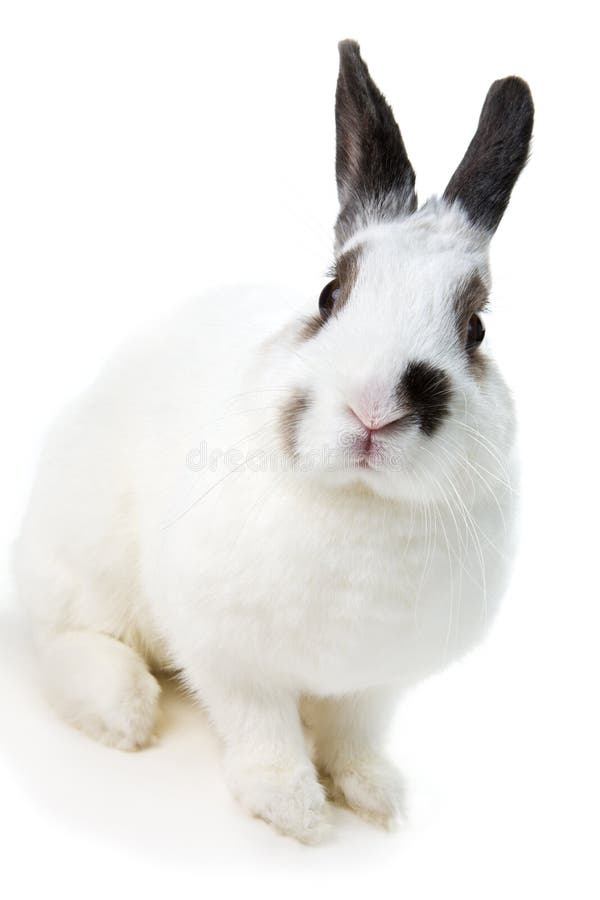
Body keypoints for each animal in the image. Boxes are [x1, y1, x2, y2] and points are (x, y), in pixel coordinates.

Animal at [13, 39, 533, 843]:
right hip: (81, 560)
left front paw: (377, 797)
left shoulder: (376, 683)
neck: (359, 505)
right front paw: (295, 811)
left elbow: (355, 733)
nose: (373, 408)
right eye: (329, 296)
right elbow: (263, 730)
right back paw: (123, 710)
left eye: (474, 329)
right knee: (65, 642)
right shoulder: (232, 662)